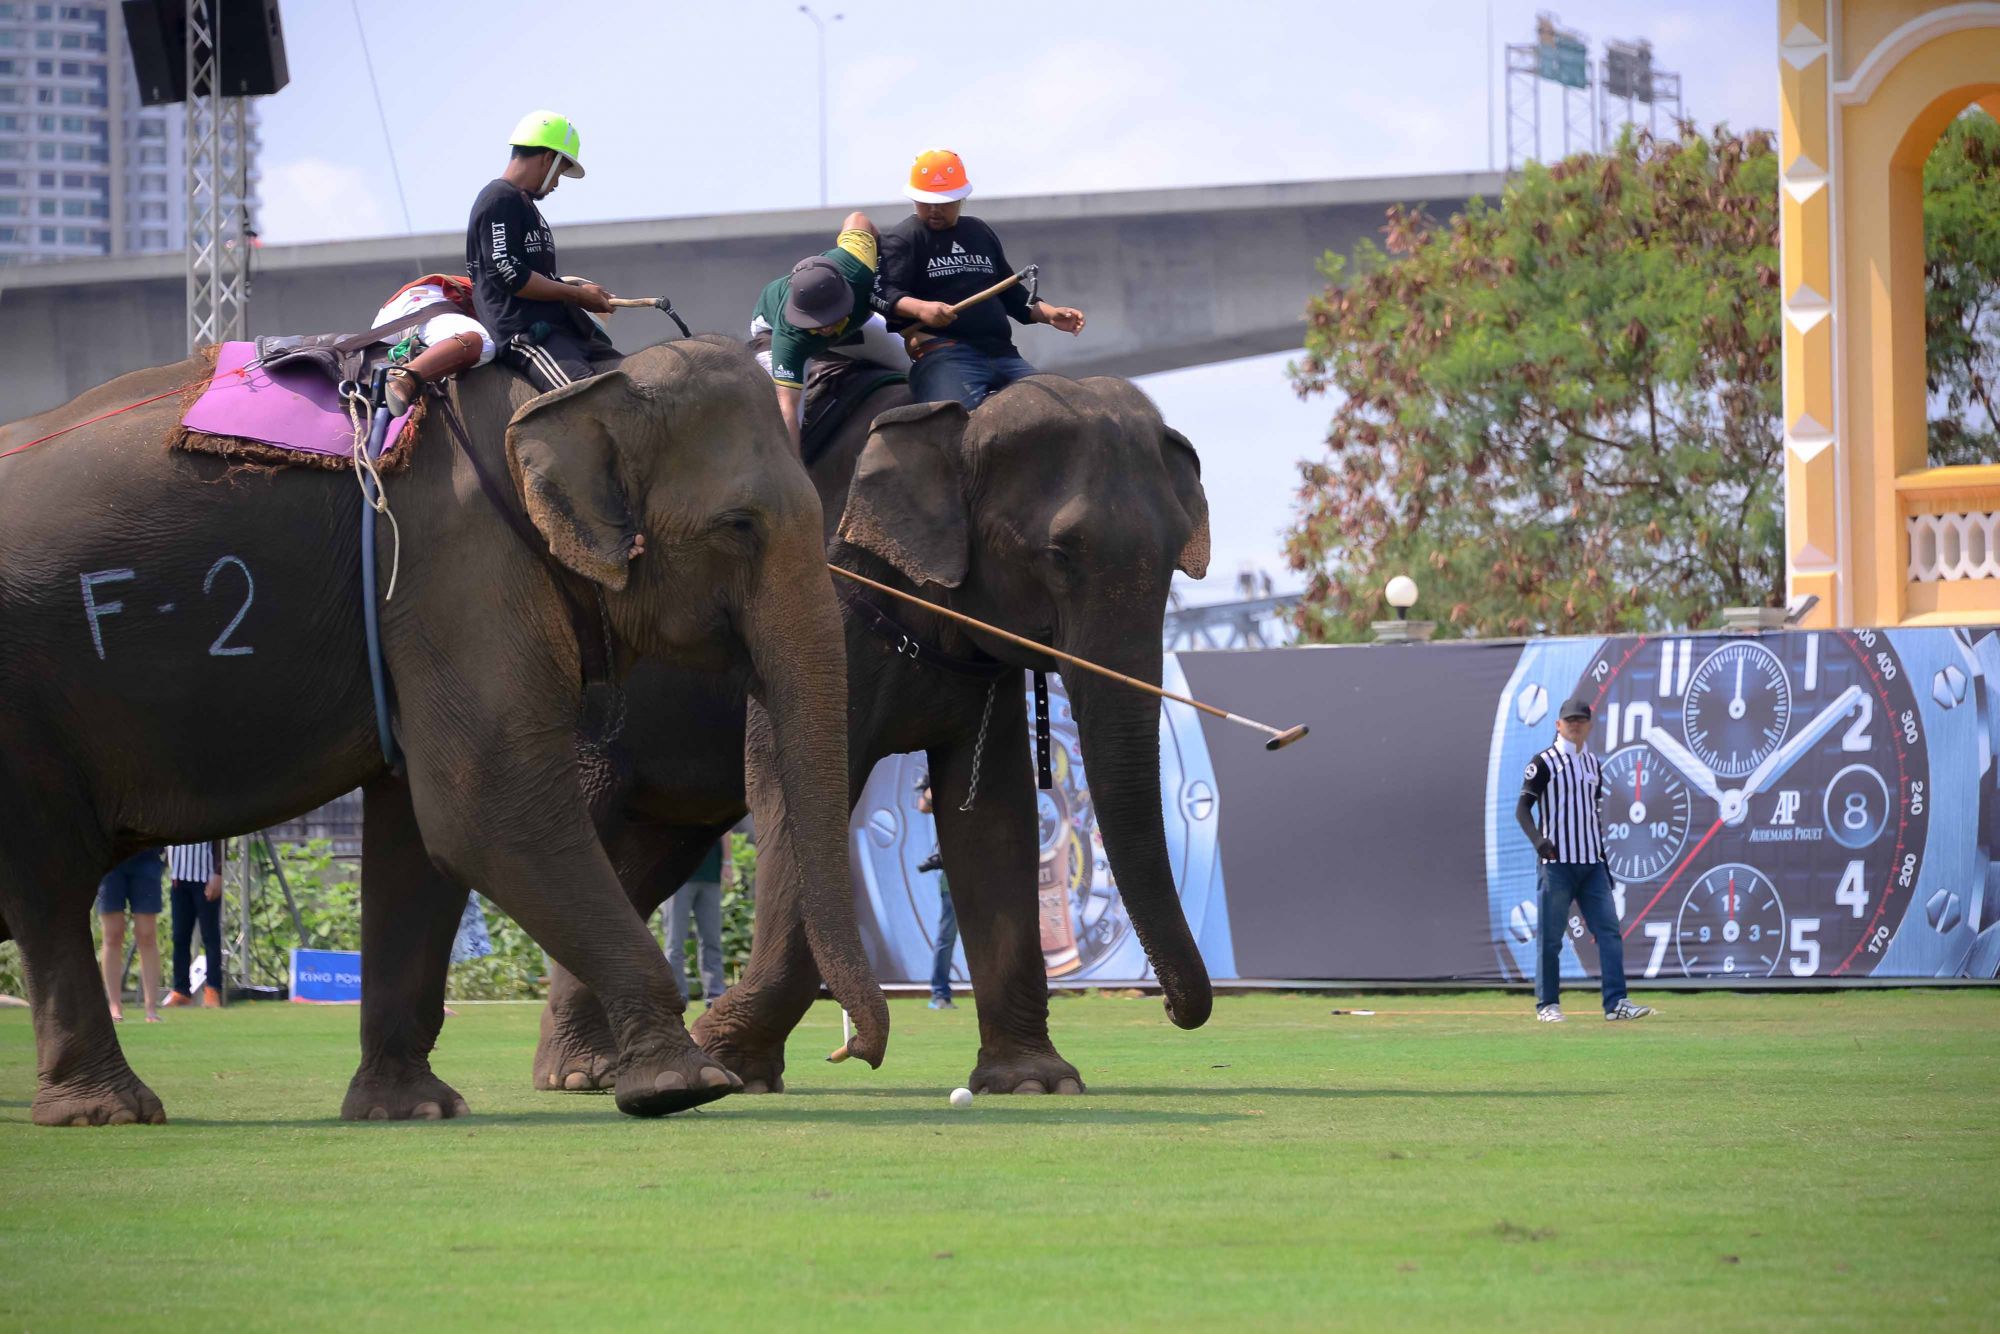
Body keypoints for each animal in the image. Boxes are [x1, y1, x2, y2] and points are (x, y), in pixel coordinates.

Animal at [0, 336, 887, 1126]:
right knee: (50, 876)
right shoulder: (459, 569)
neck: (575, 383)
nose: (855, 1052)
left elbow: (418, 838)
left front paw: (412, 1109)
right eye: (740, 525)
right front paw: (684, 1084)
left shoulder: (427, 607)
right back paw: (106, 1112)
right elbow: (489, 812)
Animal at [505, 372, 1211, 1096]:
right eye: (1059, 555)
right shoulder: (830, 602)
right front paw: (729, 1060)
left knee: (648, 858)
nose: (1170, 1009)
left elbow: (994, 818)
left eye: (1175, 558)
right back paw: (590, 1071)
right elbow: (790, 794)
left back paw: (582, 1071)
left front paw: (1034, 1082)